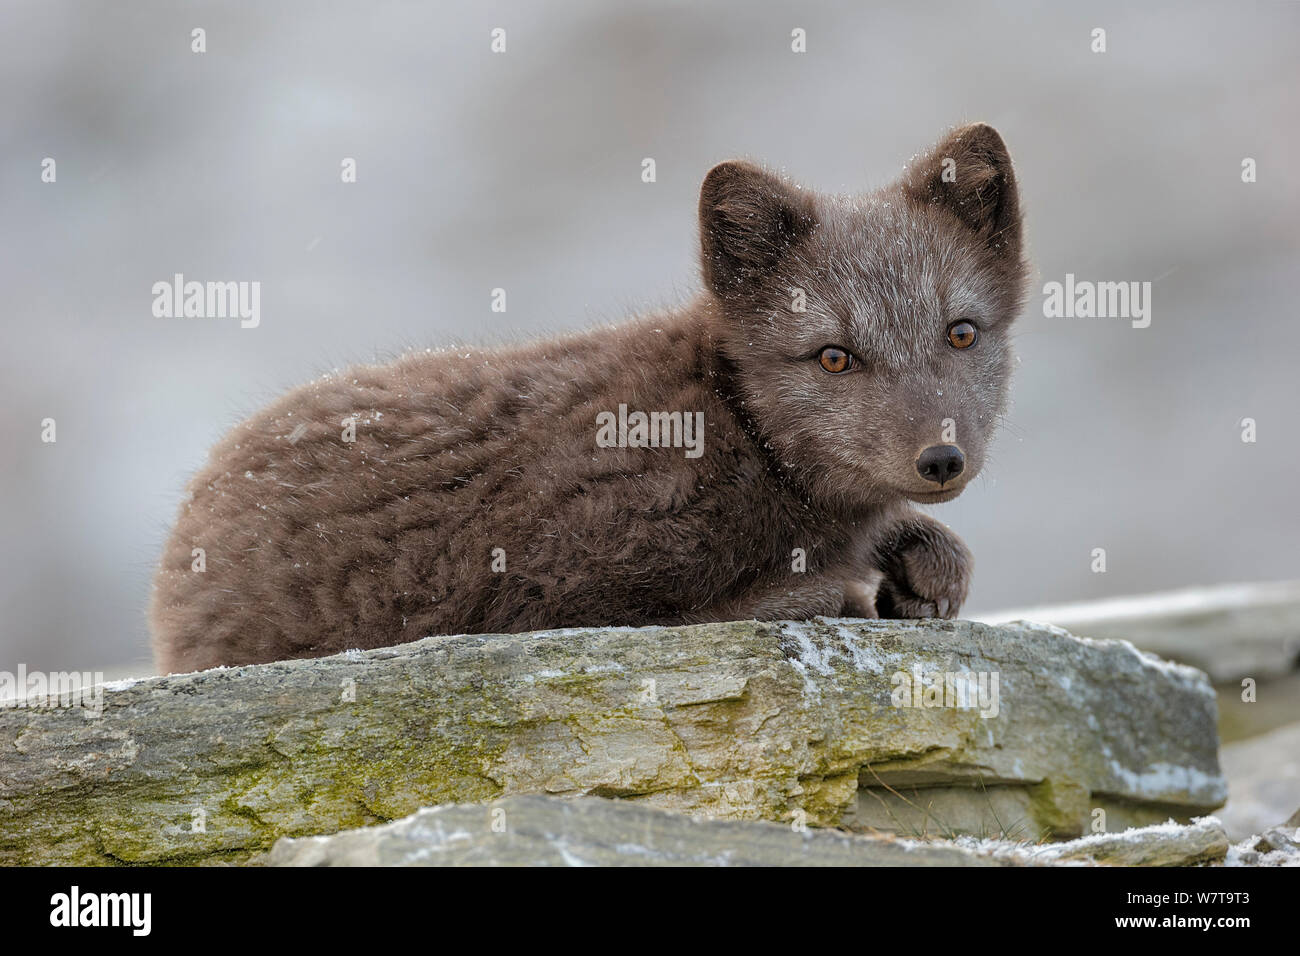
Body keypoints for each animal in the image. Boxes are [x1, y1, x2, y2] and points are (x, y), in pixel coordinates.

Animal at [151, 122, 1029, 673]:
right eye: (835, 357)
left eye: (961, 333)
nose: (940, 459)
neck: (730, 426)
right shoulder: (551, 588)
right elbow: (710, 611)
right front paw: (839, 587)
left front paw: (922, 563)